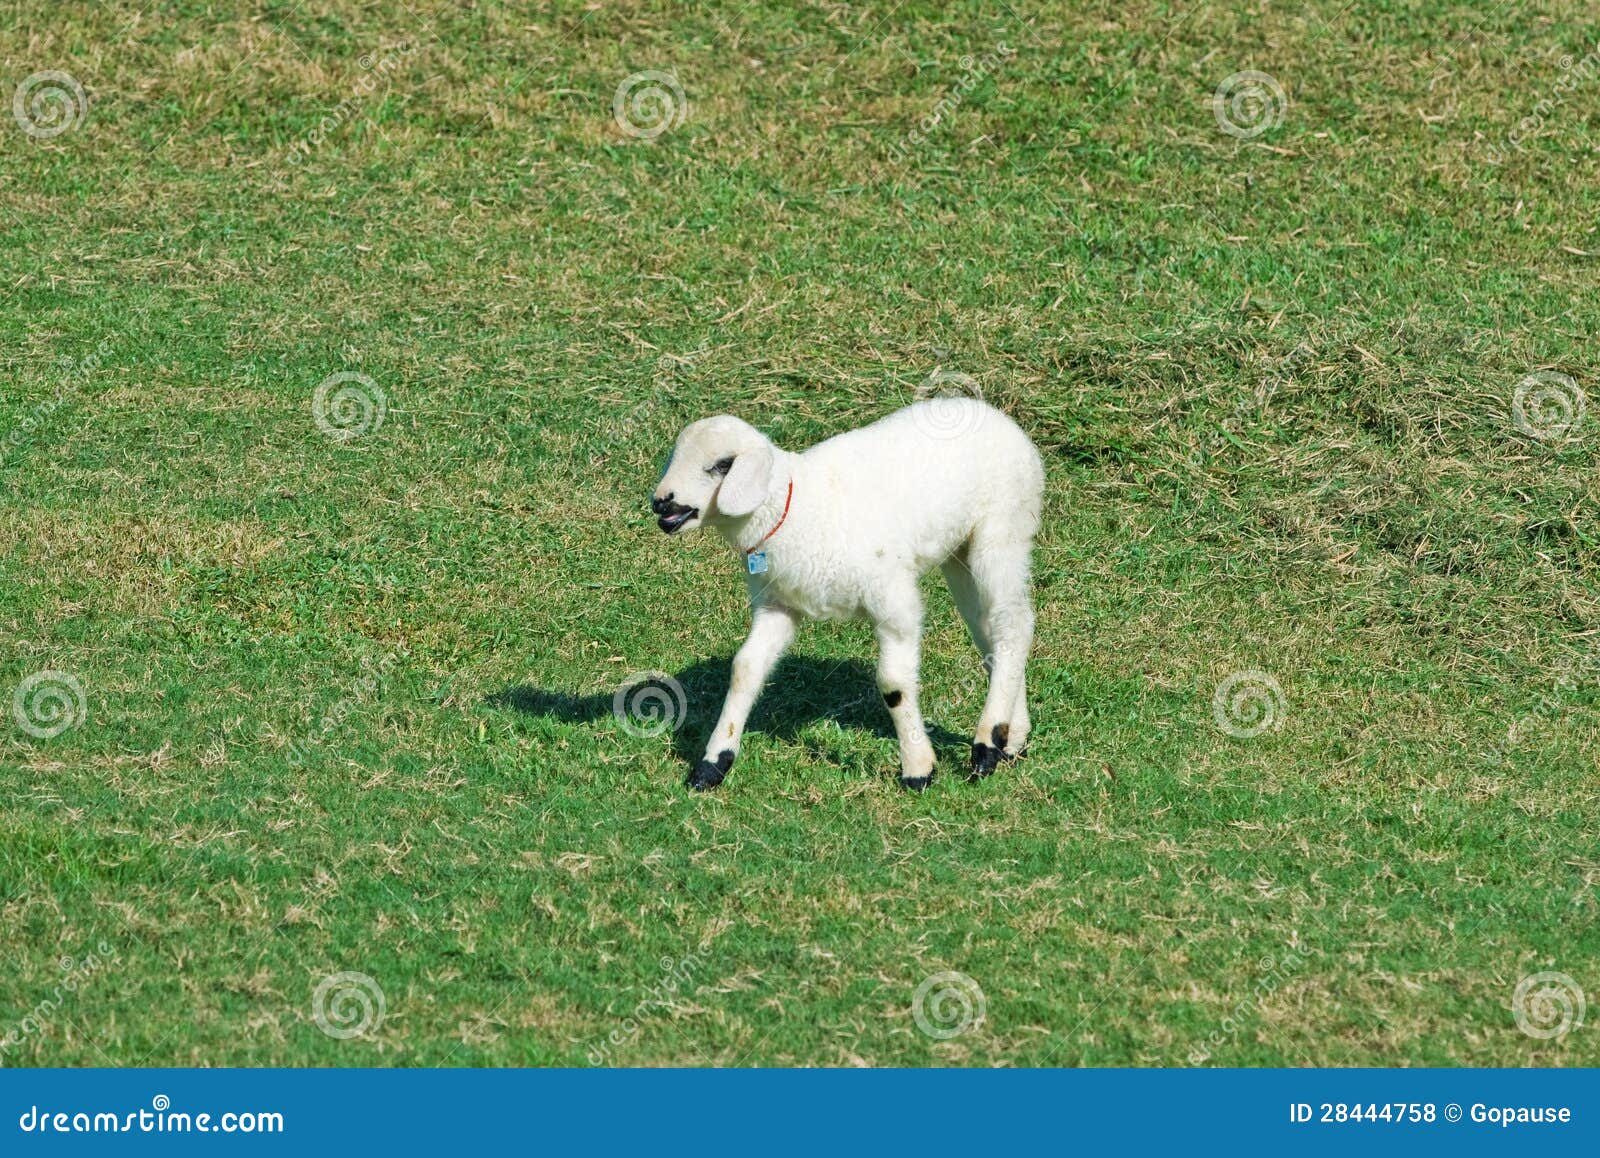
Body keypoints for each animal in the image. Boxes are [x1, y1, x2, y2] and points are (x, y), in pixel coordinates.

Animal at [650, 397, 1044, 791]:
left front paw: (918, 768)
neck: (794, 511)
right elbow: (745, 669)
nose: (661, 502)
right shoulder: (777, 604)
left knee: (1014, 625)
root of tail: (990, 412)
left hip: (1003, 529)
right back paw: (1012, 739)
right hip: (959, 553)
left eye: (721, 465)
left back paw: (987, 745)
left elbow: (894, 685)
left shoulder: (894, 600)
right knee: (990, 634)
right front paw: (712, 764)